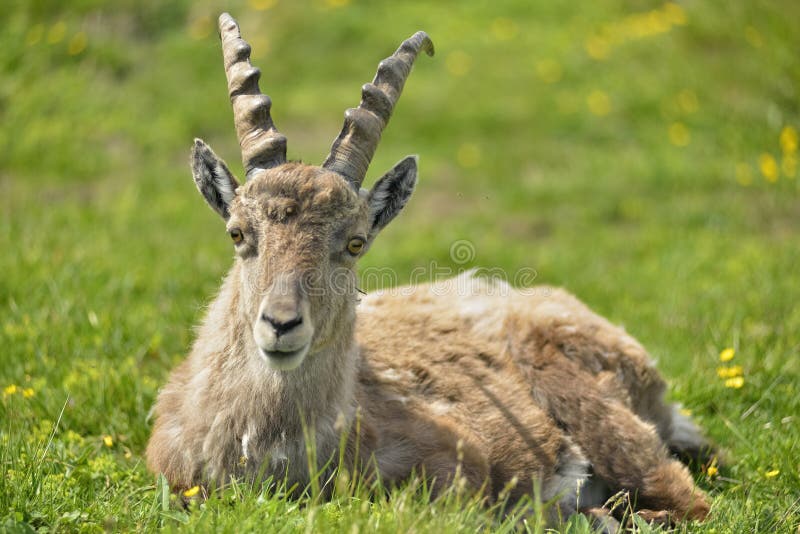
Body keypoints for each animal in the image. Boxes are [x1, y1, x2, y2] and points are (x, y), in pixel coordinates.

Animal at [146, 13, 714, 526]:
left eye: (355, 243)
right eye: (238, 233)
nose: (281, 324)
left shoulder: (458, 464)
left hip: (589, 401)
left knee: (686, 503)